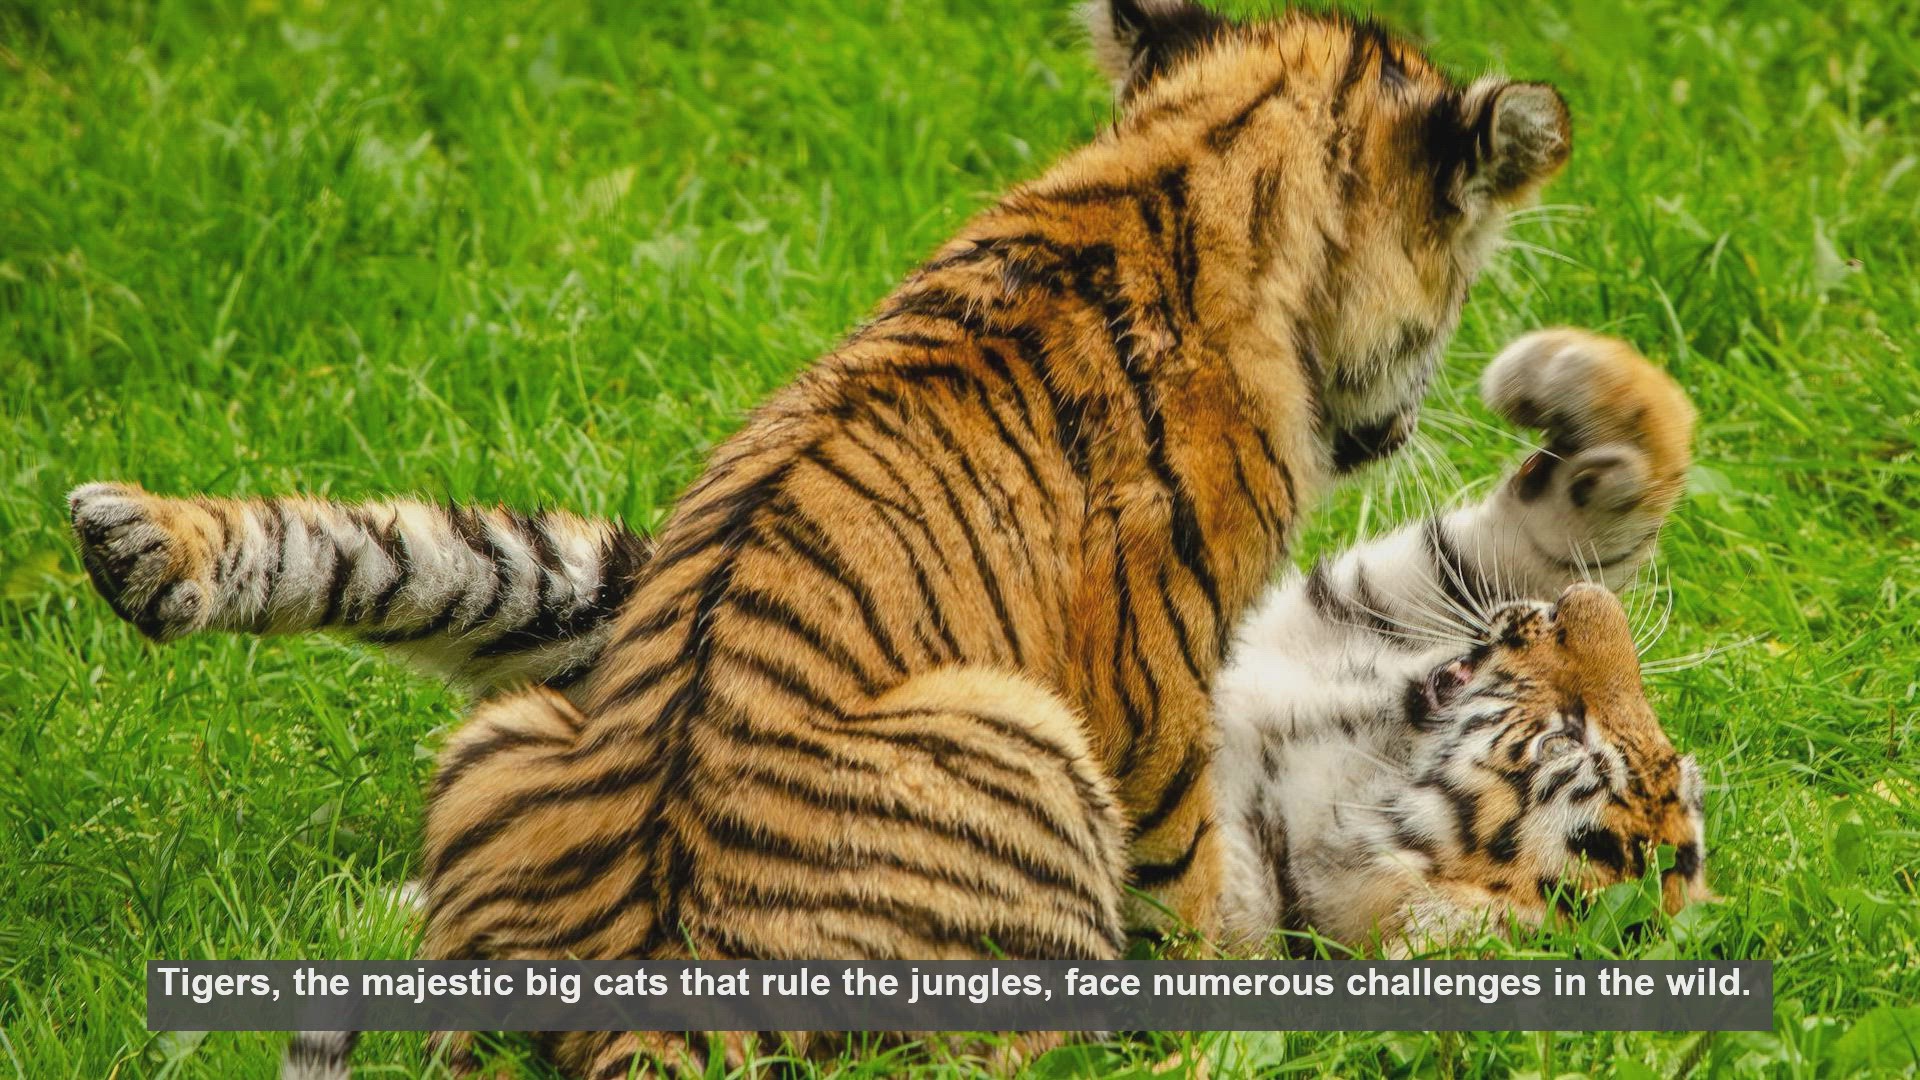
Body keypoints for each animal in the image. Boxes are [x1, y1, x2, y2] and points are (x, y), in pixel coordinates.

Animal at [68, 1, 1578, 1074]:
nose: (1407, 429)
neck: (1180, 168)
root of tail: (657, 998)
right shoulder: (1151, 700)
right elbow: (1196, 899)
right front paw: (1248, 1016)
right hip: (1024, 732)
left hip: (506, 742)